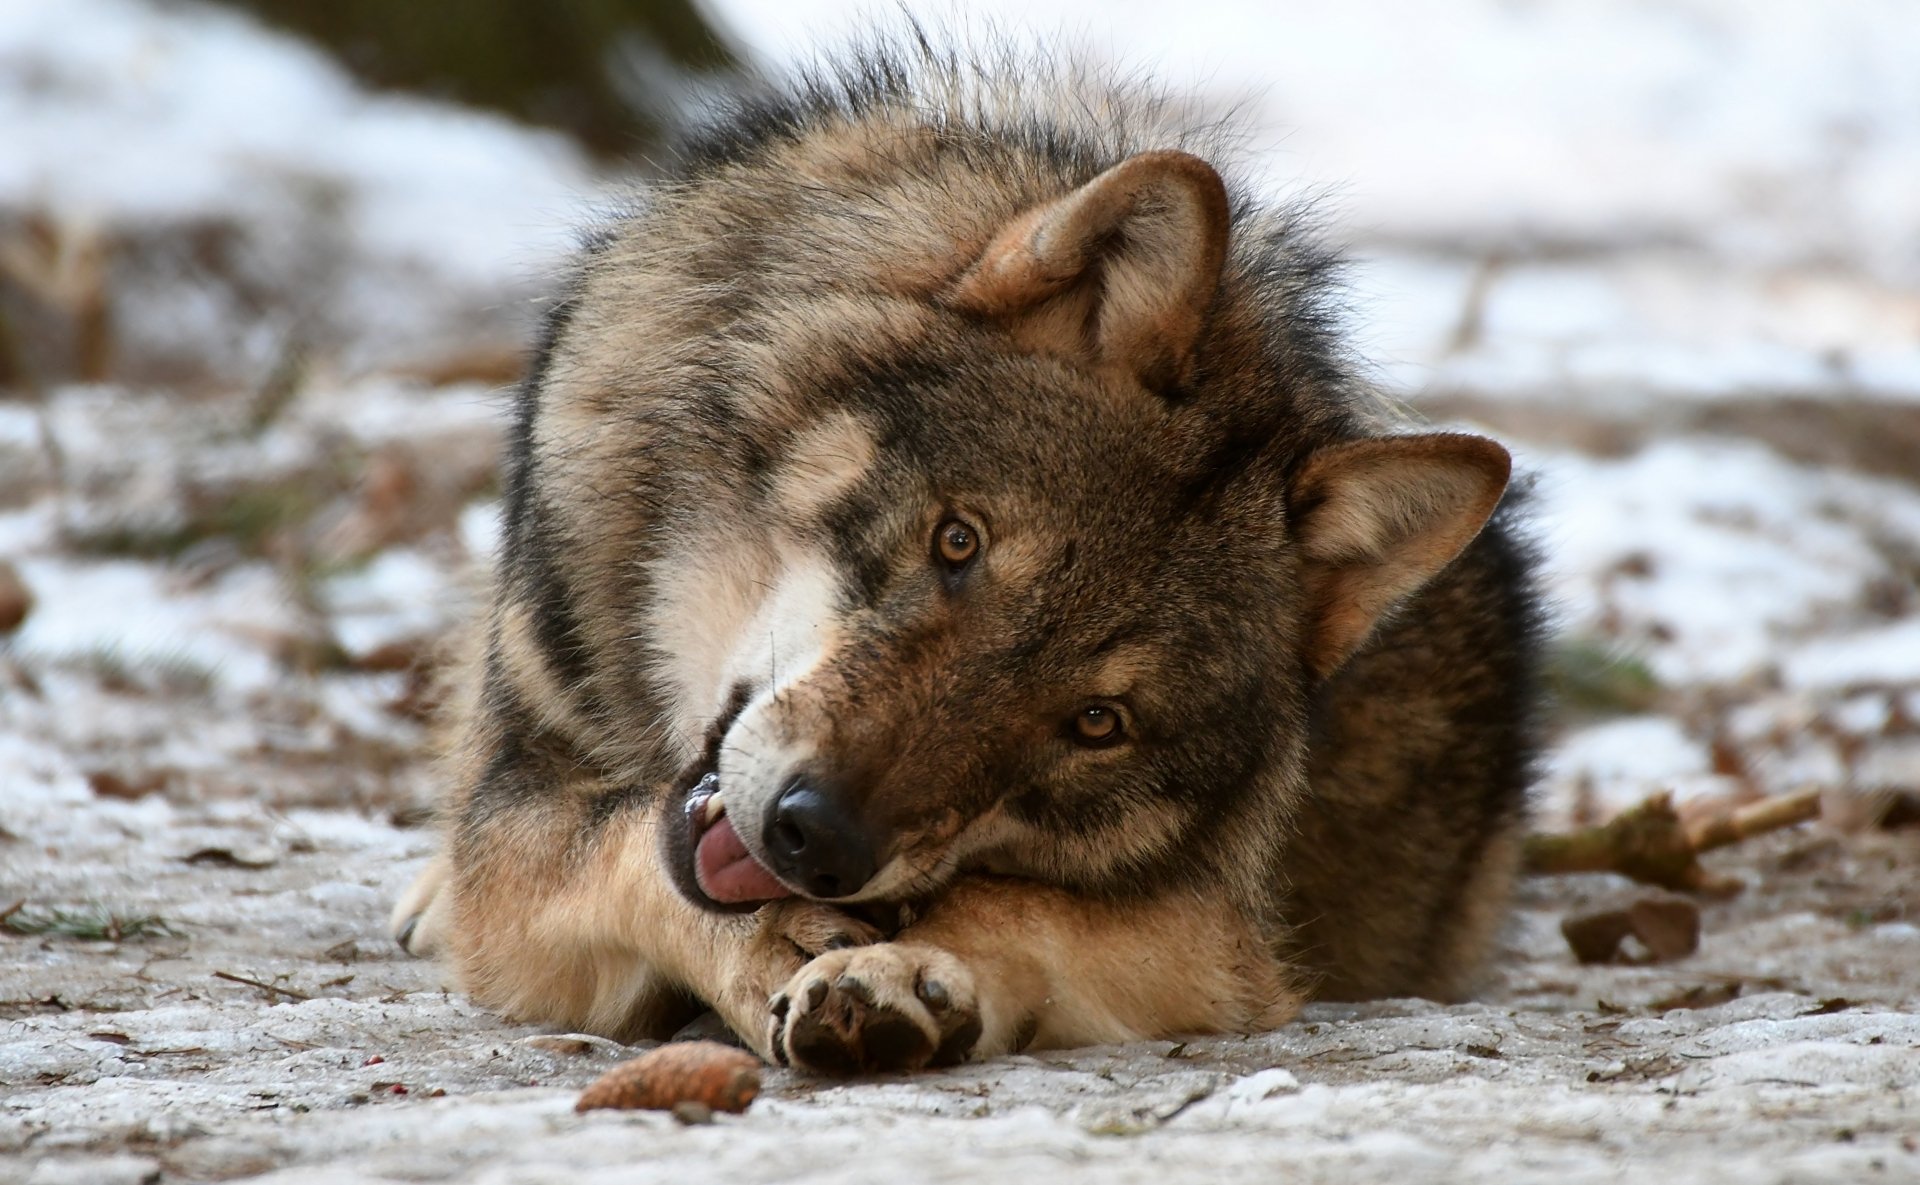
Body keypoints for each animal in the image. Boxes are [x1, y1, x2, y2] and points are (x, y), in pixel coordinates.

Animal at [390, 39, 1541, 1075]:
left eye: (1097, 722)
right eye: (958, 541)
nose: (820, 839)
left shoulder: (1219, 934)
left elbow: (1016, 902)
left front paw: (902, 970)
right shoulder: (518, 827)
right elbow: (617, 843)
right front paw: (771, 941)